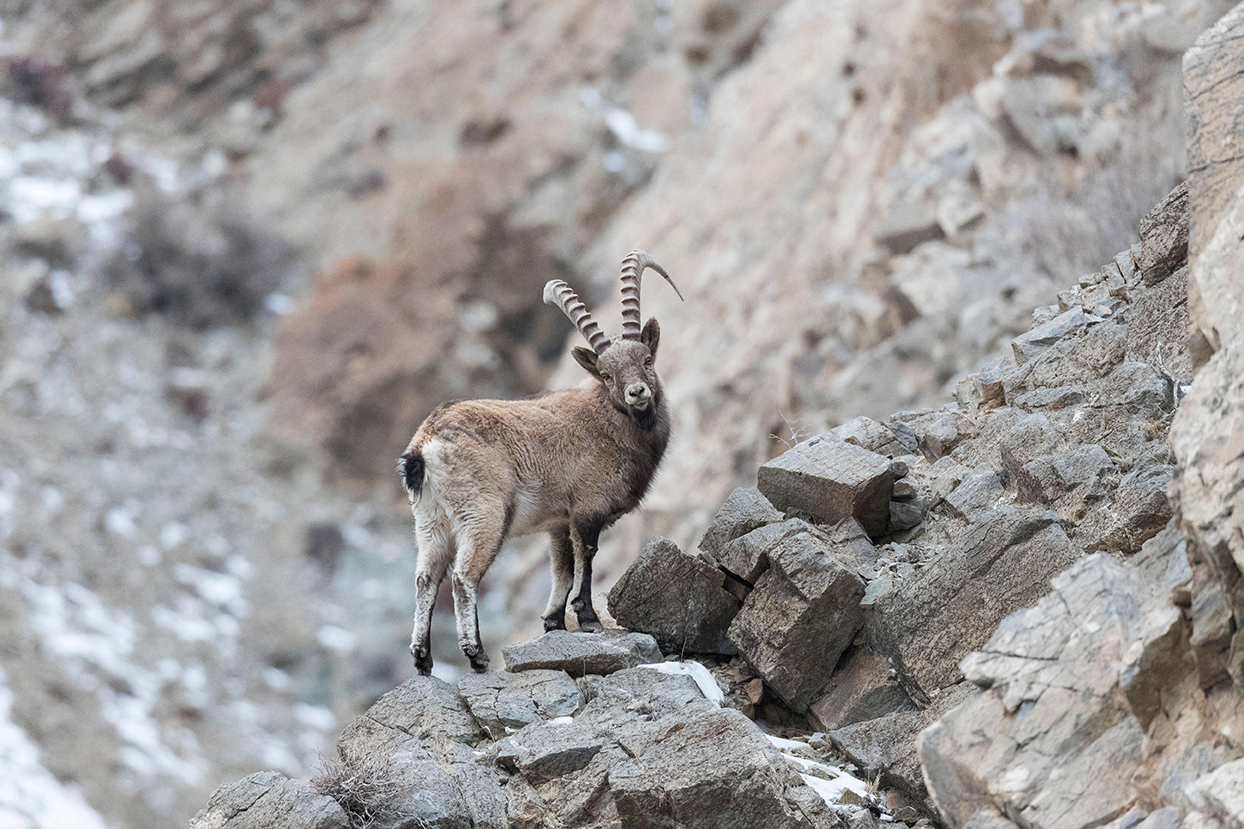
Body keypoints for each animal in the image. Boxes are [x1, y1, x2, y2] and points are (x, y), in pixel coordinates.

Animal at [397, 251, 683, 675]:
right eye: (605, 374)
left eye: (647, 359)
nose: (637, 392)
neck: (609, 422)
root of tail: (424, 444)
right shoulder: (587, 508)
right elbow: (586, 558)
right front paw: (588, 619)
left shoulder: (558, 522)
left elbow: (561, 568)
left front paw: (552, 622)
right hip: (482, 514)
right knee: (463, 578)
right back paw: (477, 655)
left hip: (431, 521)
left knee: (425, 579)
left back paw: (422, 659)